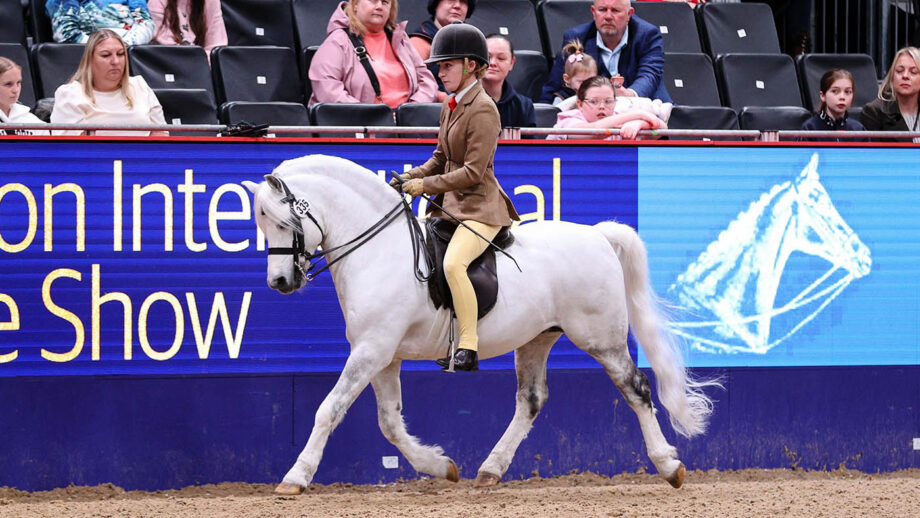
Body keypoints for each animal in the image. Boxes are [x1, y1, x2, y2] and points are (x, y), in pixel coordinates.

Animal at [242, 154, 719, 495]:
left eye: (282, 221)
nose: (280, 282)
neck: (379, 250)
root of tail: (598, 234)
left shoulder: (372, 350)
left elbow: (329, 409)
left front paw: (295, 477)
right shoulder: (382, 355)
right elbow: (390, 423)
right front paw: (441, 466)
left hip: (600, 338)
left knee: (635, 389)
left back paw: (670, 466)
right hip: (536, 339)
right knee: (530, 401)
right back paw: (490, 470)